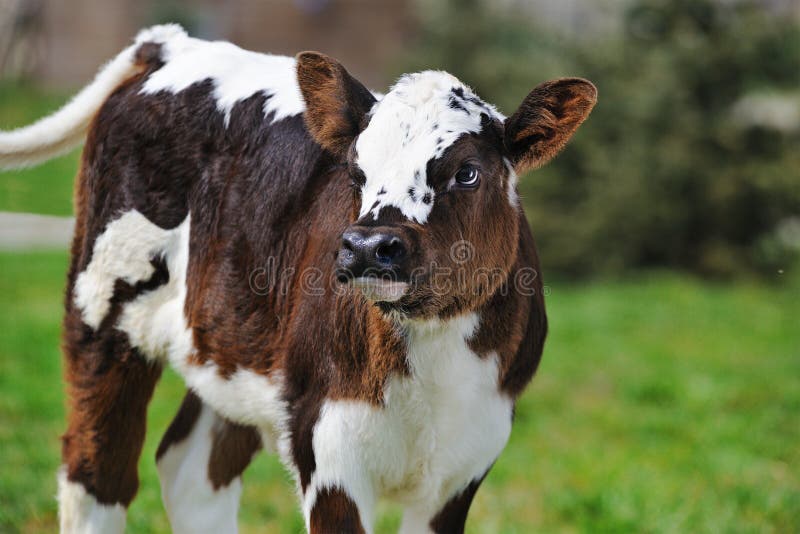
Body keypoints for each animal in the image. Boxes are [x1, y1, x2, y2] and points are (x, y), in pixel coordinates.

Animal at [0, 24, 595, 534]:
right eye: (356, 171)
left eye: (467, 173)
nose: (366, 247)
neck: (433, 362)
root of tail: (175, 44)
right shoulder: (328, 445)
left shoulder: (467, 458)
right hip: (100, 308)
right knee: (97, 473)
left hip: (231, 344)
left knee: (191, 470)